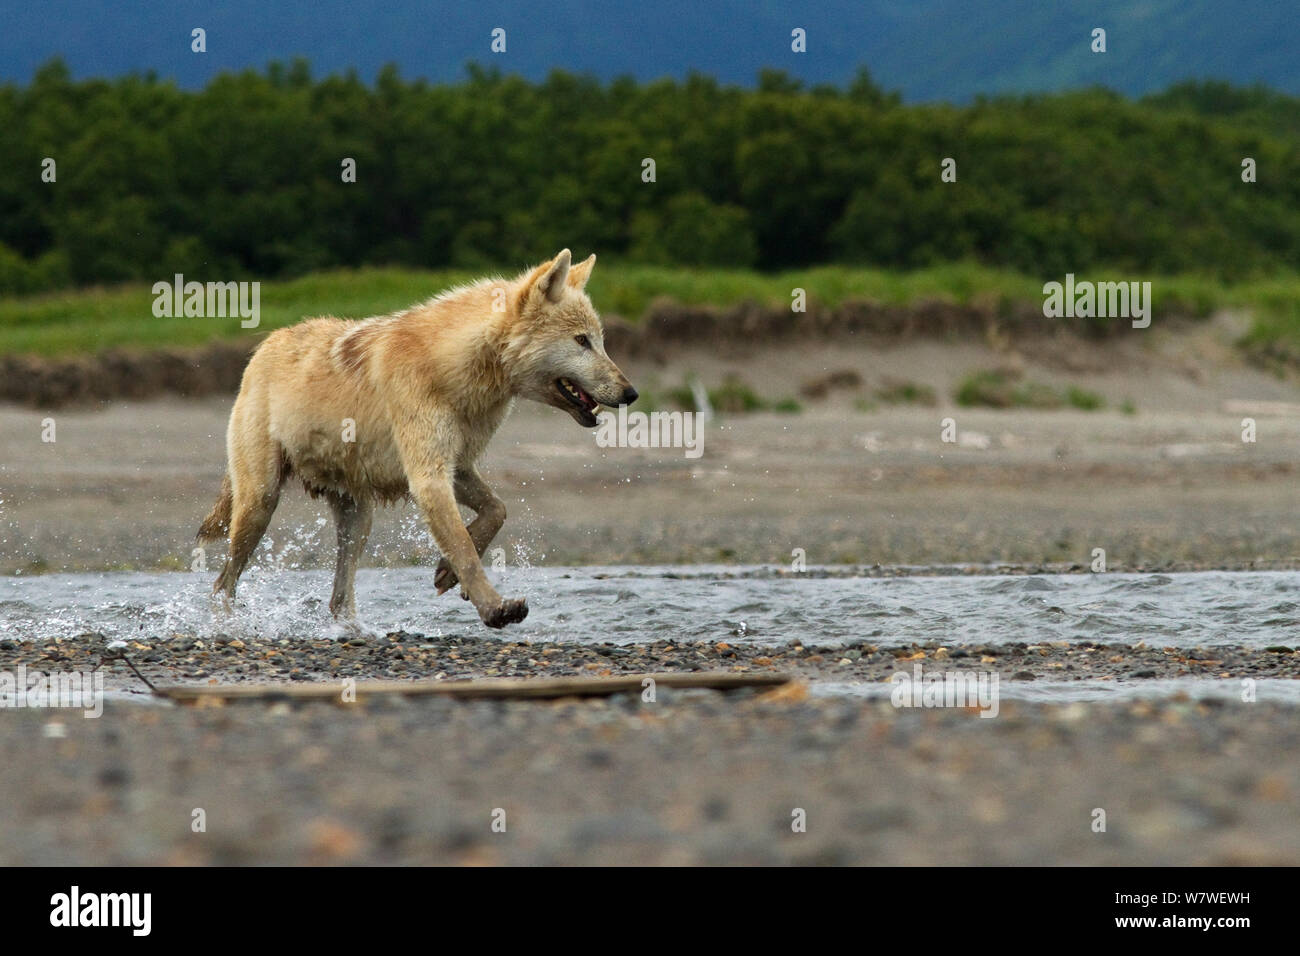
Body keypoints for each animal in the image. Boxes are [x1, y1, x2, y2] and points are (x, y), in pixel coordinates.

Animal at [196, 250, 636, 629]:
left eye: (600, 340)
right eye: (582, 341)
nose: (630, 393)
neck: (456, 371)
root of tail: (261, 348)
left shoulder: (456, 466)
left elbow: (496, 511)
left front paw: (446, 573)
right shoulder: (427, 477)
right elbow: (465, 549)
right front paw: (494, 608)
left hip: (358, 519)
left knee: (338, 601)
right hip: (260, 503)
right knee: (222, 584)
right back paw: (226, 627)